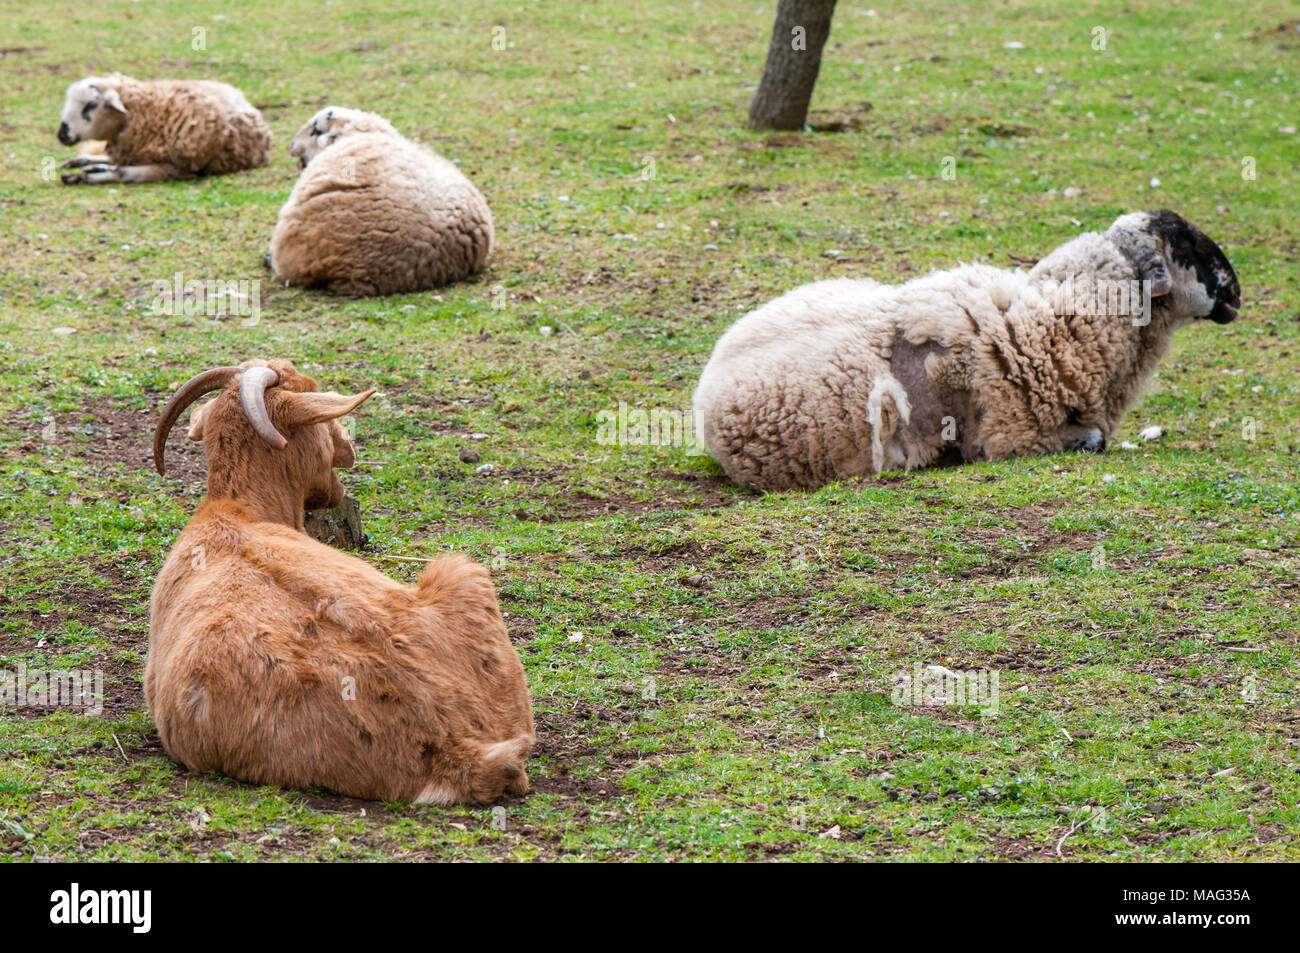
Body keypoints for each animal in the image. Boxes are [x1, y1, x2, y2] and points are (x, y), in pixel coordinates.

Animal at [693, 209, 1241, 491]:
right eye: (1183, 245)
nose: (1237, 291)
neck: (1048, 317)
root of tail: (705, 385)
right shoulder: (1006, 440)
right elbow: (1093, 440)